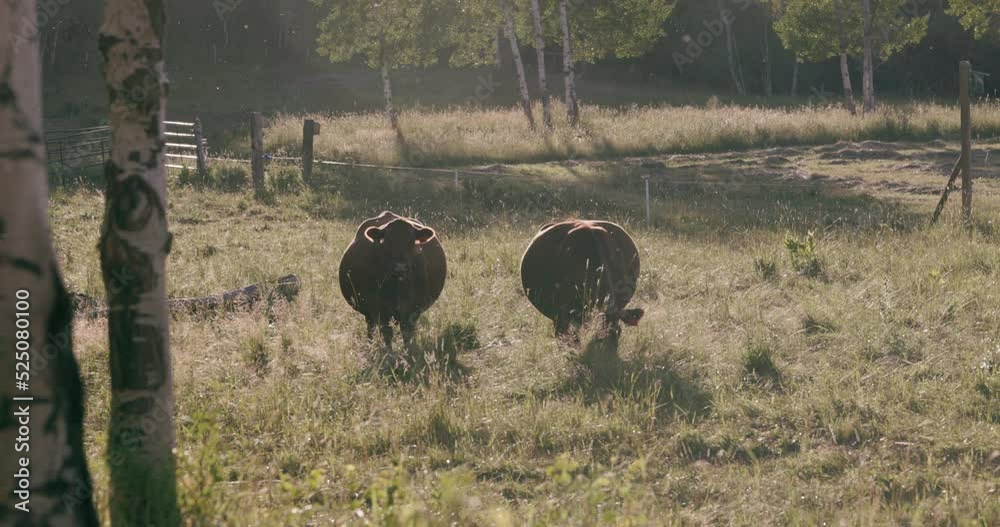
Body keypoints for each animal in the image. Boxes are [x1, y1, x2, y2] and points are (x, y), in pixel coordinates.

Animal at [339, 212, 447, 348]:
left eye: (412, 241)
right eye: (388, 242)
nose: (400, 266)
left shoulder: (413, 310)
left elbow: (407, 333)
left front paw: (408, 350)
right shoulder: (379, 309)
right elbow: (387, 333)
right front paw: (389, 351)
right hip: (369, 313)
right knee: (371, 328)